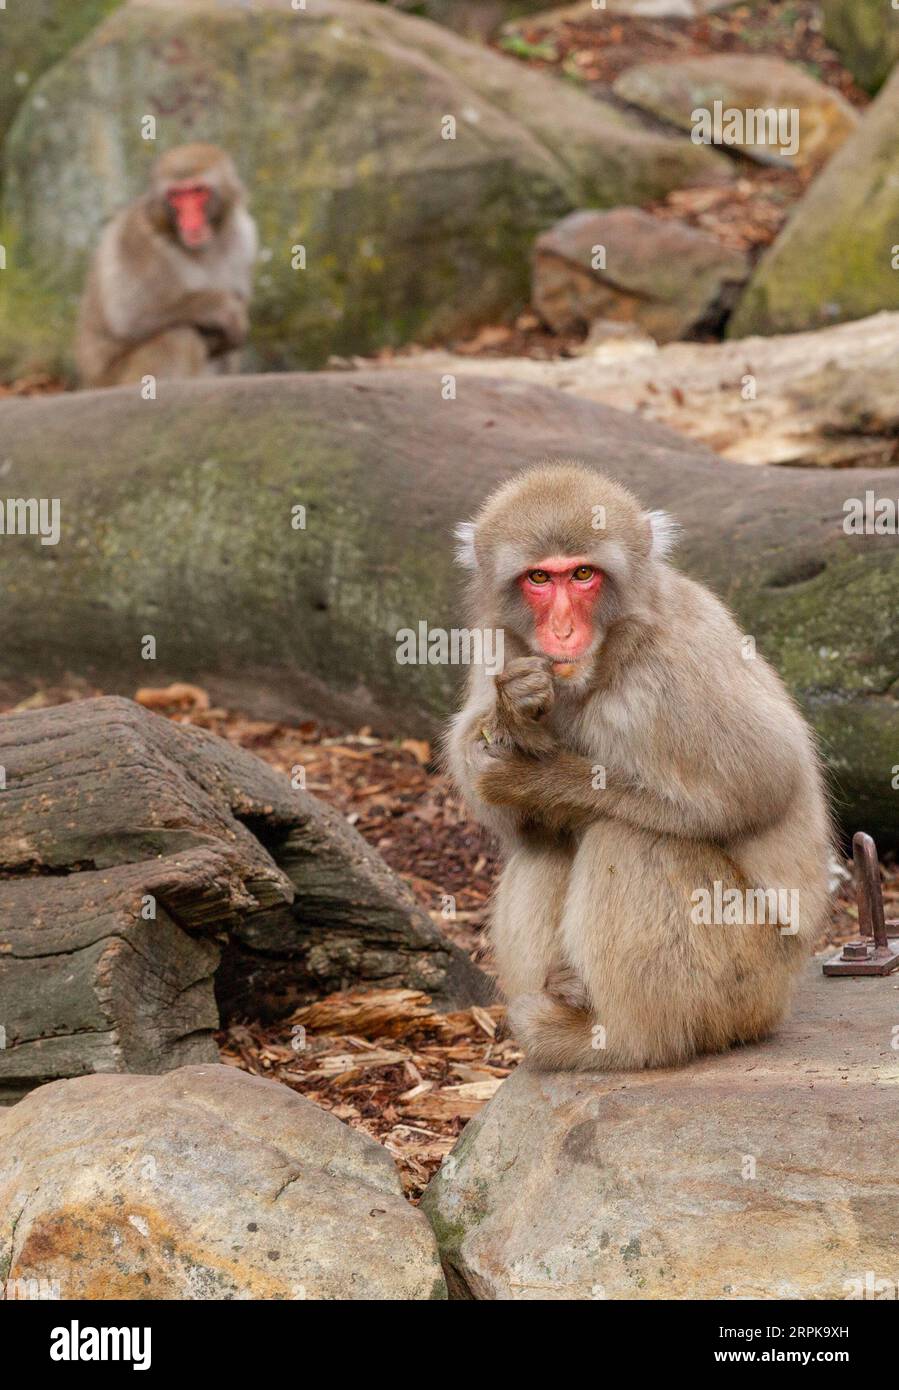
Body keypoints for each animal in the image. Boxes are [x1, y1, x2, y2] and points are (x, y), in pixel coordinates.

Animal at [75, 143, 257, 388]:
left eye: (198, 191)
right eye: (177, 195)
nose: (190, 220)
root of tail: (88, 383)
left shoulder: (245, 238)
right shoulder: (136, 238)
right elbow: (130, 314)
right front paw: (222, 306)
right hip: (114, 378)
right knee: (177, 336)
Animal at [447, 462, 832, 1072]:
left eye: (583, 574)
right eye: (539, 578)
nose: (561, 632)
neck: (605, 661)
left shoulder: (675, 663)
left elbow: (760, 780)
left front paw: (536, 775)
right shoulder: (497, 645)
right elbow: (505, 810)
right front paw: (509, 716)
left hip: (747, 978)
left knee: (632, 839)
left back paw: (618, 1039)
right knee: (542, 842)